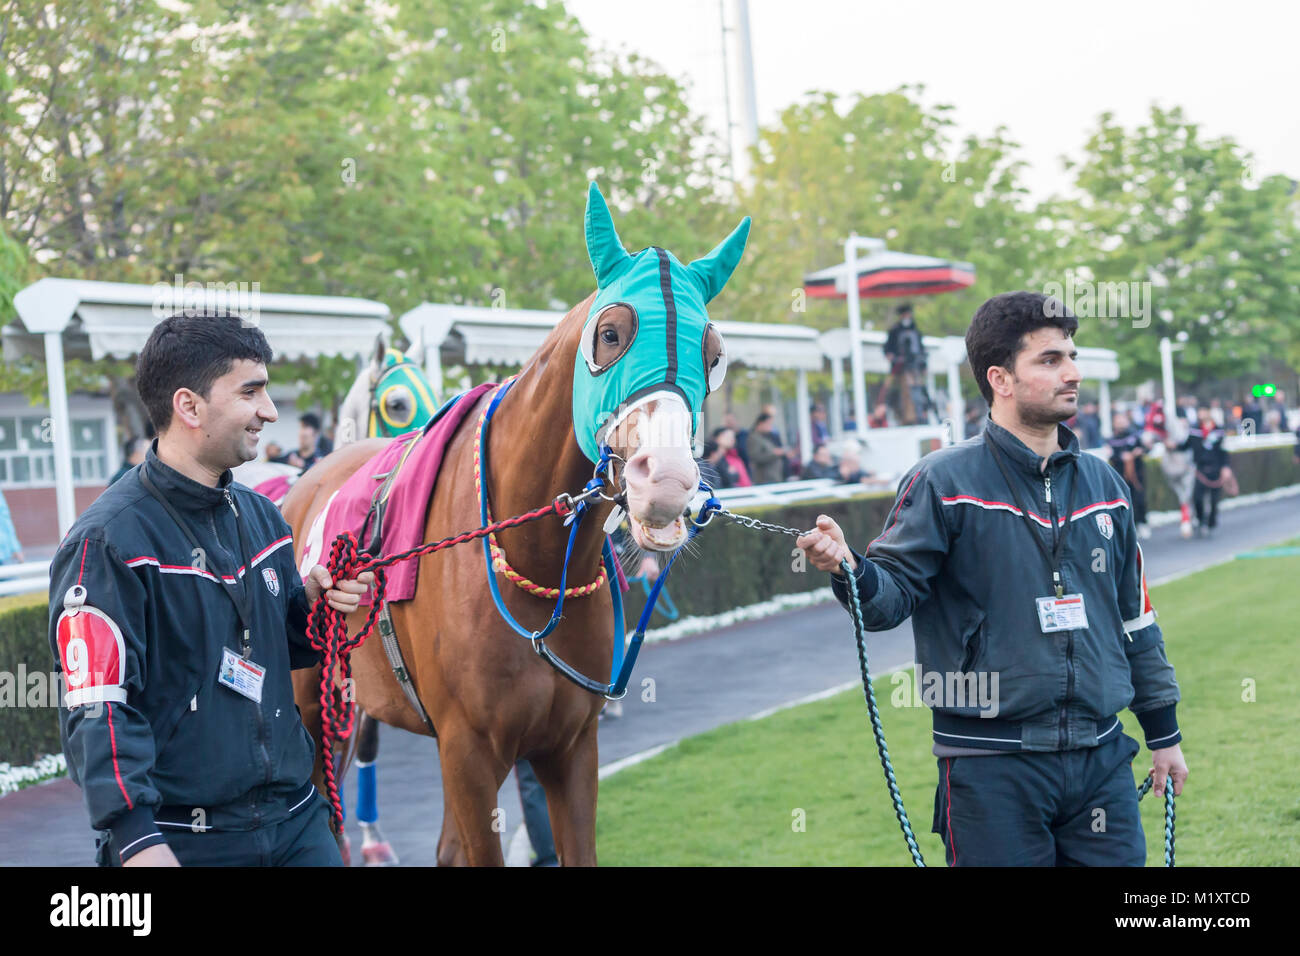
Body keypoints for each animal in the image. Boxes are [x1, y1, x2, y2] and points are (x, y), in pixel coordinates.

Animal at [281, 183, 750, 865]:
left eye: (713, 357)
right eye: (610, 334)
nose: (665, 481)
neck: (535, 559)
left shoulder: (570, 747)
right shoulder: (469, 752)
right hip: (314, 711)